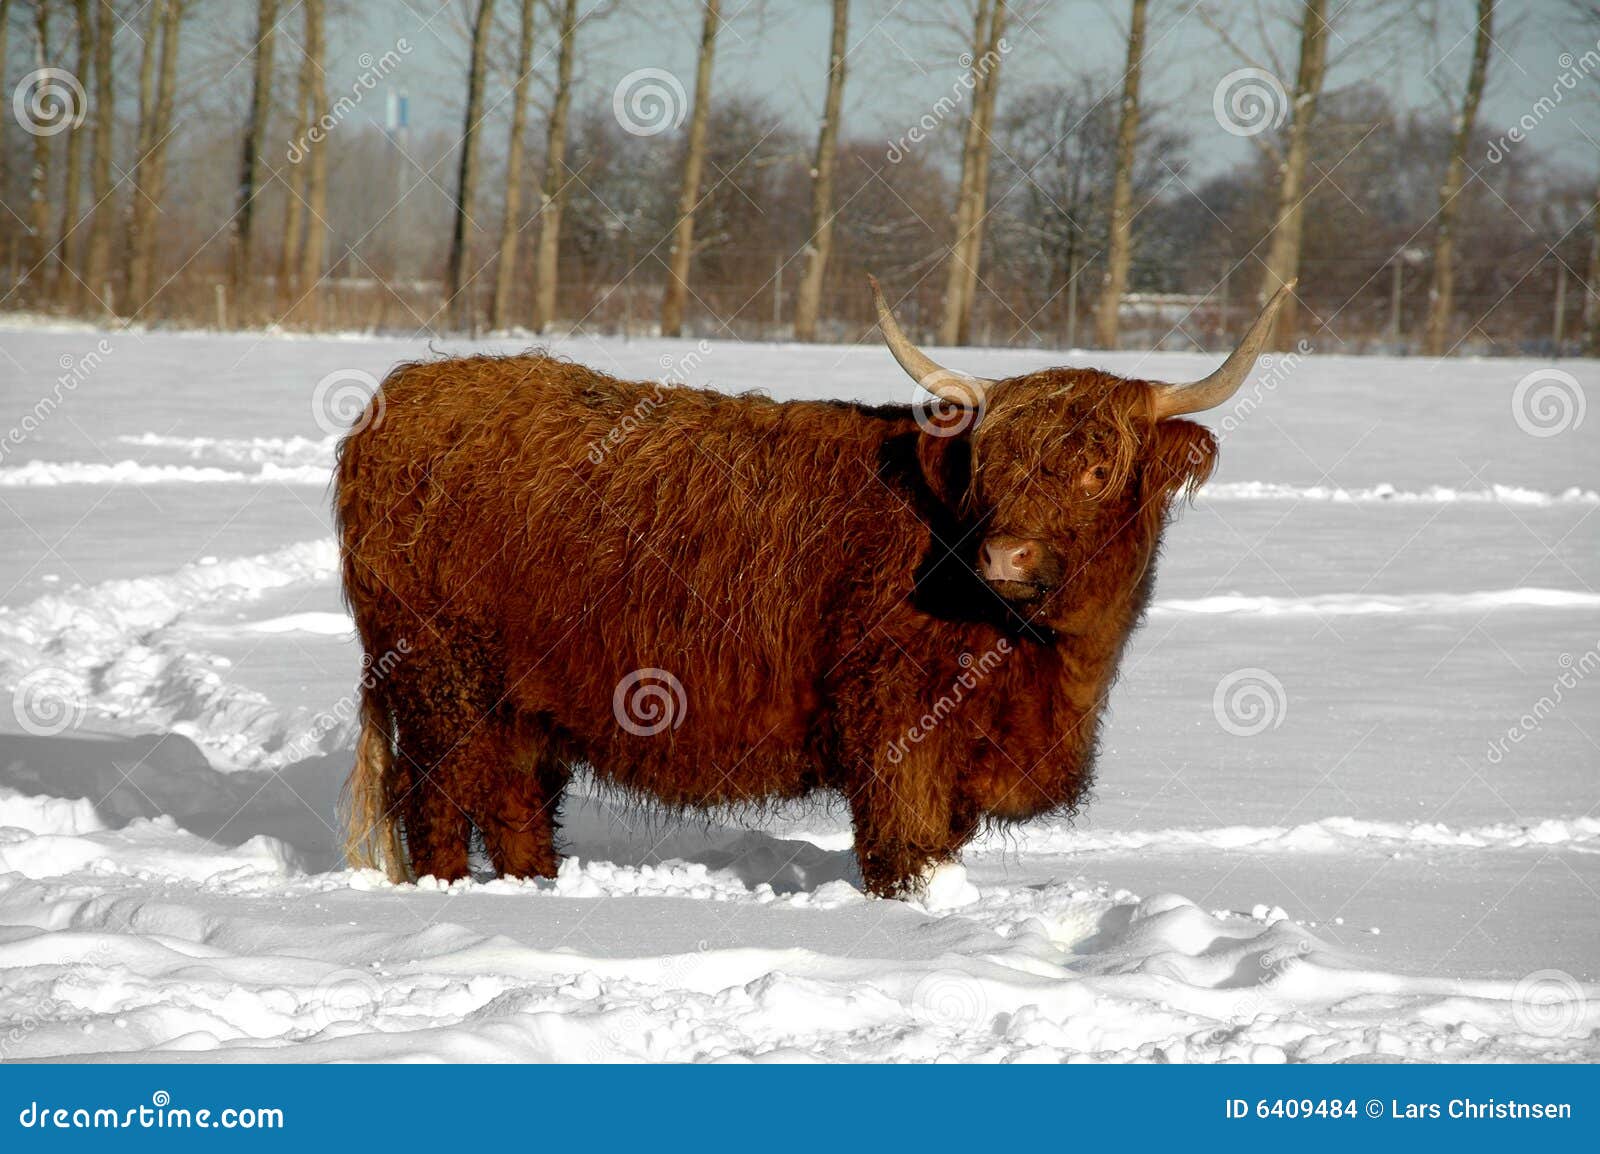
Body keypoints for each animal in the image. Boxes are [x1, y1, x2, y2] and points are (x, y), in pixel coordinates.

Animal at [336, 278, 1295, 897]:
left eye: (1100, 472)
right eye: (991, 469)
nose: (1006, 559)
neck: (1046, 669)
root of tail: (404, 394)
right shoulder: (898, 731)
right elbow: (902, 855)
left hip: (522, 701)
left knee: (515, 804)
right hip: (440, 676)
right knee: (437, 801)